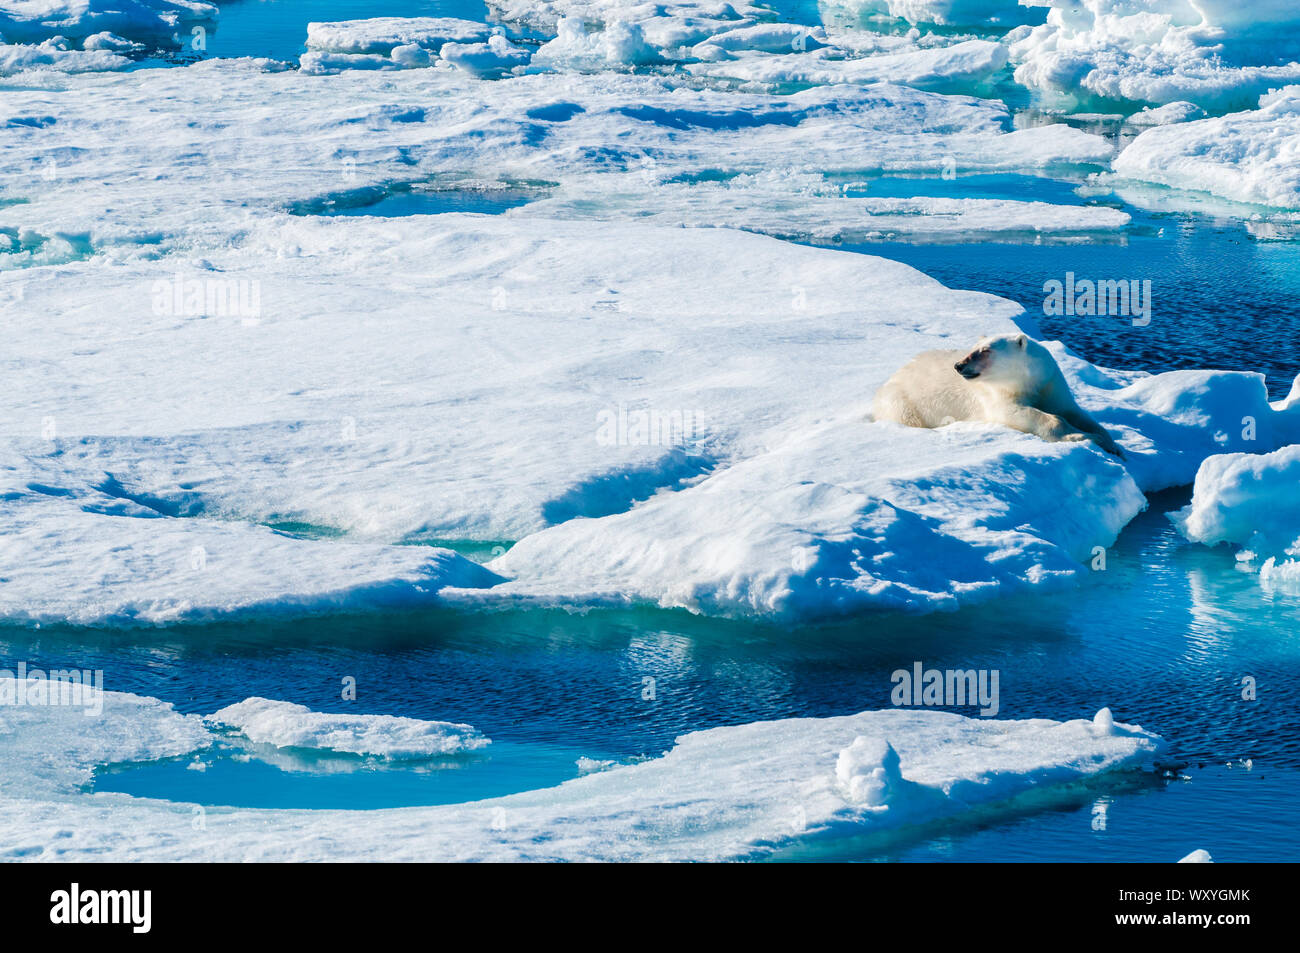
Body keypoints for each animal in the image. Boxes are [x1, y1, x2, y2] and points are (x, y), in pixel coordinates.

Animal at [871, 333, 1124, 457]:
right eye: (973, 348)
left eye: (985, 351)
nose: (958, 365)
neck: (1027, 380)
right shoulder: (995, 393)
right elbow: (1023, 413)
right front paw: (1082, 436)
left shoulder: (1050, 382)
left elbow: (1072, 411)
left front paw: (1111, 443)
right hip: (901, 399)